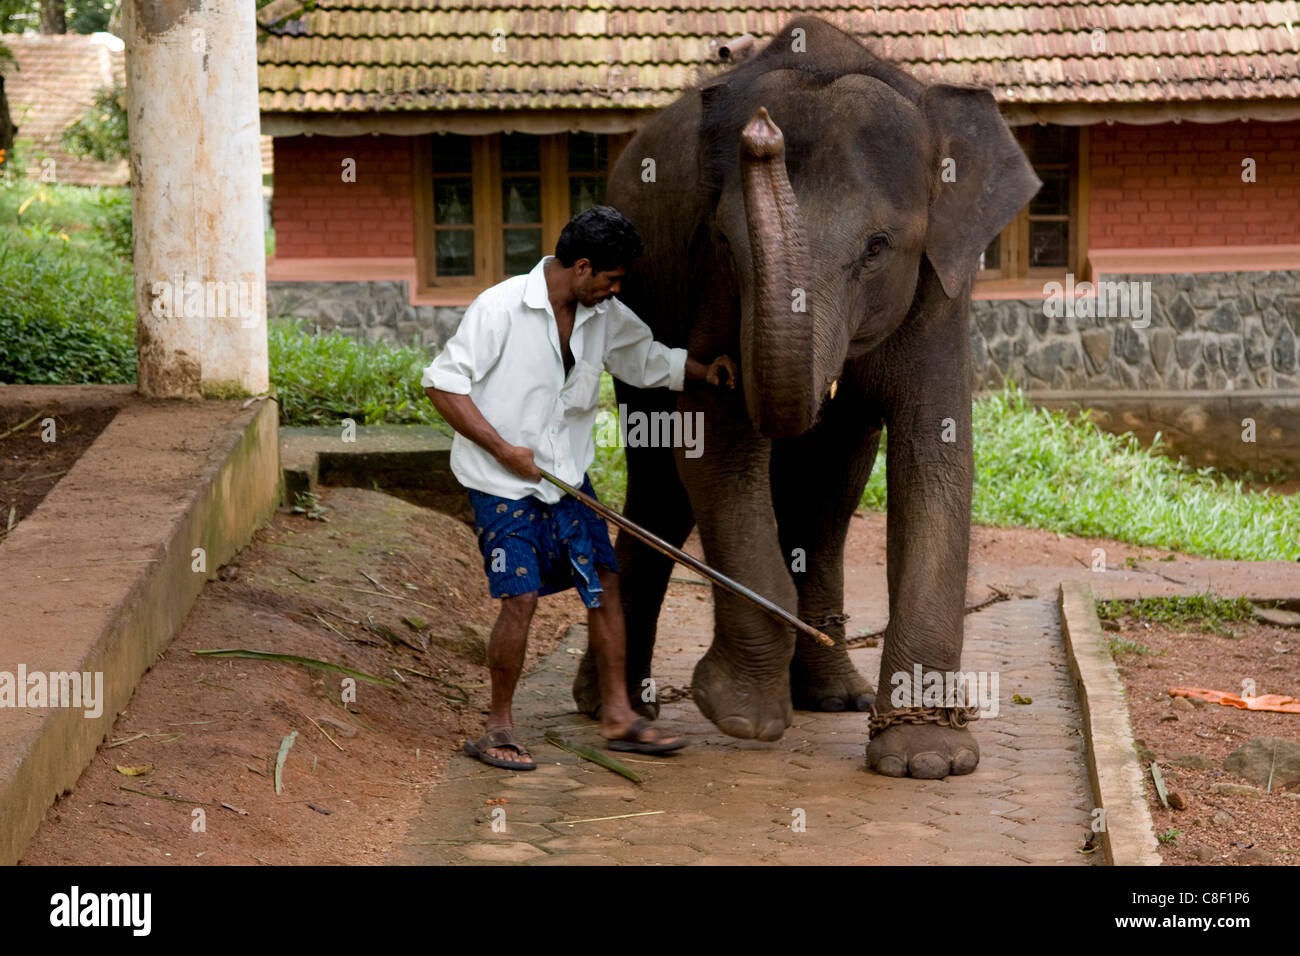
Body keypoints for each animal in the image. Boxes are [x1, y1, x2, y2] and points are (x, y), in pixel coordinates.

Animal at [572, 15, 1040, 778]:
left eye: (877, 248)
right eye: (725, 238)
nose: (761, 133)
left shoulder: (942, 292)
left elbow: (937, 459)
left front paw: (926, 760)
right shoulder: (711, 284)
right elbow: (712, 445)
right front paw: (740, 713)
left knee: (828, 494)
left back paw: (831, 695)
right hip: (633, 295)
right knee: (660, 481)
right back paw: (612, 708)